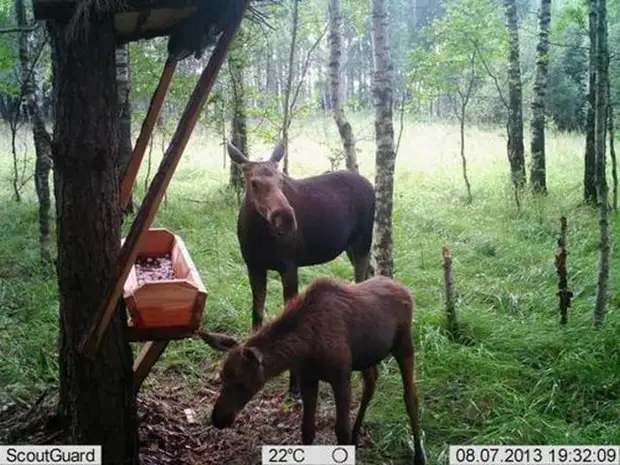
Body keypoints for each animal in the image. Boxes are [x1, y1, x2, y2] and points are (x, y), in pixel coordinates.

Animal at [226, 140, 376, 394]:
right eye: (253, 182)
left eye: (282, 180)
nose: (285, 218)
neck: (257, 236)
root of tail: (369, 183)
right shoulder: (253, 265)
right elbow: (257, 313)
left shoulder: (289, 265)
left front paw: (294, 384)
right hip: (350, 247)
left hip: (363, 241)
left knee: (363, 277)